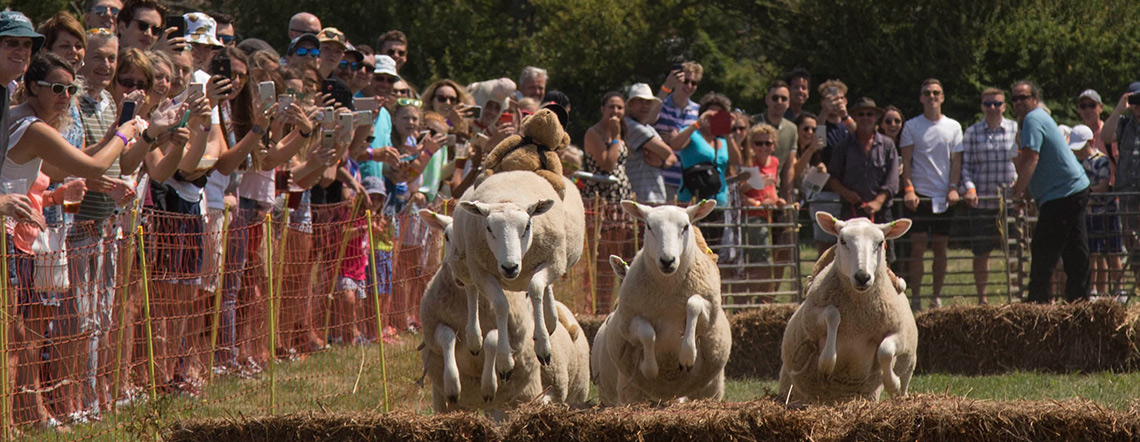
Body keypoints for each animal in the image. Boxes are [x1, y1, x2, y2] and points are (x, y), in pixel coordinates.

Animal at [453, 171, 584, 378]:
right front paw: (504, 360)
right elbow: (500, 305)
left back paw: (550, 319)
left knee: (545, 288)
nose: (510, 267)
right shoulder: (481, 272)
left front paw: (542, 345)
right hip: (466, 265)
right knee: (471, 290)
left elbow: (537, 288)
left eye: (528, 225)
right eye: (488, 228)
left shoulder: (553, 262)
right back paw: (474, 338)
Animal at [591, 200, 732, 405]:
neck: (668, 291)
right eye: (649, 226)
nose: (667, 260)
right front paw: (649, 368)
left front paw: (688, 354)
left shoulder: (708, 311)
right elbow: (647, 333)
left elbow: (693, 304)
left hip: (710, 389)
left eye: (685, 226)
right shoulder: (631, 320)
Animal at [777, 212, 917, 405]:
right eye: (842, 241)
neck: (858, 318)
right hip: (791, 381)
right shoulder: (811, 318)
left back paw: (900, 395)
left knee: (903, 383)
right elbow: (832, 314)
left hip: (907, 365)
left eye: (880, 242)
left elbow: (885, 351)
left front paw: (893, 383)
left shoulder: (898, 332)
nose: (862, 277)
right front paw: (827, 362)